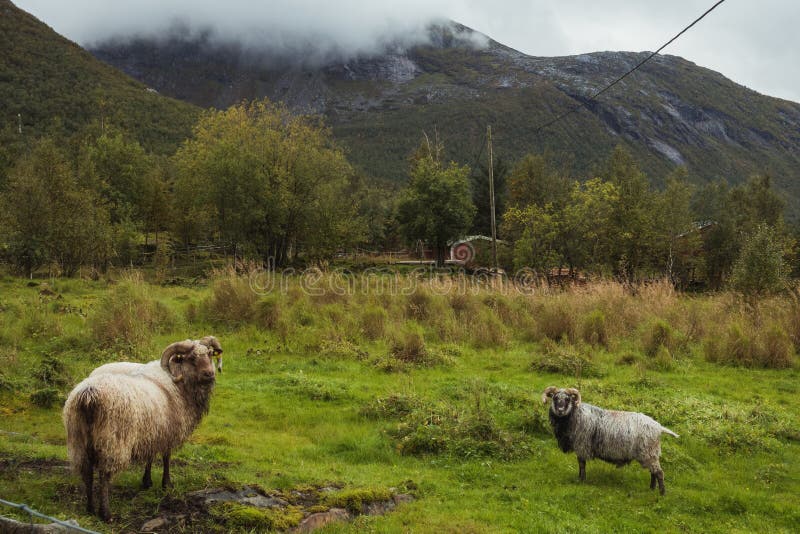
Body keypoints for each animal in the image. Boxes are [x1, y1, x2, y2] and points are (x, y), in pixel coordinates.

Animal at [63, 339, 217, 521]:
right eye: (192, 358)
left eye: (210, 354)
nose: (210, 374)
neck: (178, 382)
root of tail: (89, 395)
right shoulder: (169, 430)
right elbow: (166, 457)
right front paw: (166, 484)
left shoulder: (152, 430)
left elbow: (150, 456)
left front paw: (147, 482)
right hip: (113, 439)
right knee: (104, 474)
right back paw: (106, 513)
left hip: (78, 438)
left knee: (86, 472)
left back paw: (90, 508)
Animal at [541, 386, 679, 495]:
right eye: (555, 398)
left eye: (568, 399)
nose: (560, 410)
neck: (574, 416)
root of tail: (659, 427)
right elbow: (581, 464)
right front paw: (580, 478)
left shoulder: (582, 446)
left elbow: (582, 465)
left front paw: (582, 480)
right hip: (650, 454)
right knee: (653, 472)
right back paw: (651, 489)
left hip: (649, 452)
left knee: (659, 473)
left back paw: (661, 493)